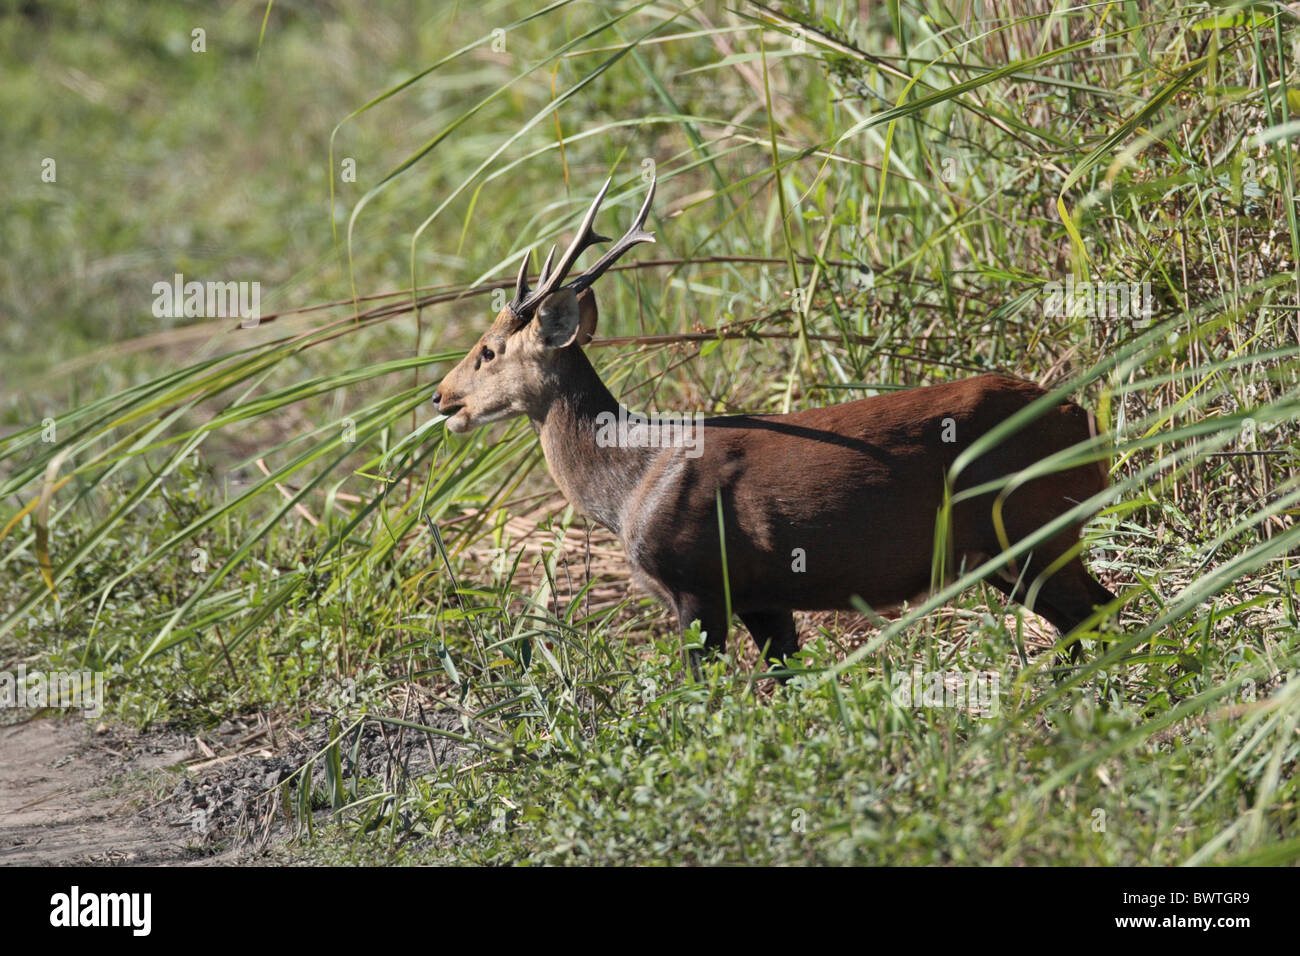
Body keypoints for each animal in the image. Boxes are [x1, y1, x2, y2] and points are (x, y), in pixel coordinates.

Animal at [432, 176, 1118, 675]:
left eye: (488, 350)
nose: (442, 398)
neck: (629, 482)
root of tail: (1085, 423)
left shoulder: (698, 584)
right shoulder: (765, 597)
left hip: (1028, 525)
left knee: (1097, 615)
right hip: (1010, 546)